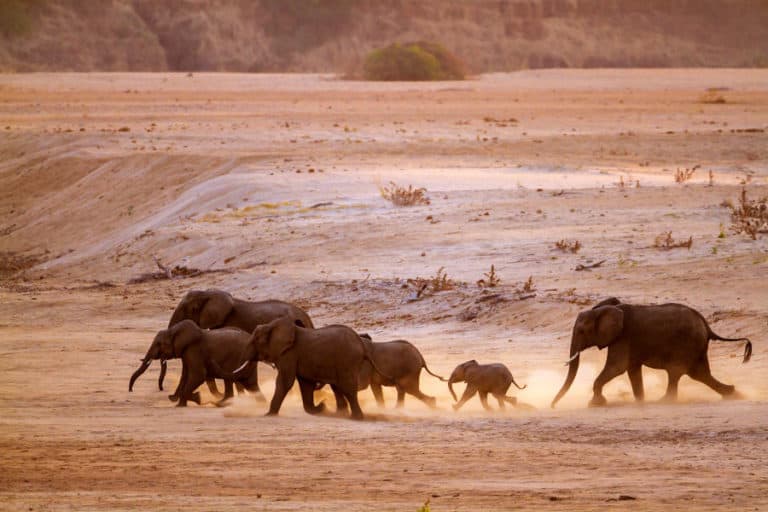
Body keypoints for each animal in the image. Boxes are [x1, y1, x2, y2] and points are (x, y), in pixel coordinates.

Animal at [224, 317, 390, 420]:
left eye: (256, 340)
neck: (273, 325)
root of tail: (362, 345)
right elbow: (305, 383)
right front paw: (322, 408)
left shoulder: (289, 354)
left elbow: (285, 381)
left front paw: (268, 415)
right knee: (338, 387)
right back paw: (340, 414)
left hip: (347, 361)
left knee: (347, 387)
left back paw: (355, 418)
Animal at [551, 298, 753, 408]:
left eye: (581, 331)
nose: (552, 407)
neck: (603, 309)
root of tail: (707, 325)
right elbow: (631, 370)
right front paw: (640, 401)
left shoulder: (623, 337)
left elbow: (617, 367)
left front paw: (595, 404)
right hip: (696, 345)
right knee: (699, 374)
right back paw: (734, 394)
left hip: (686, 344)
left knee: (677, 372)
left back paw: (664, 401)